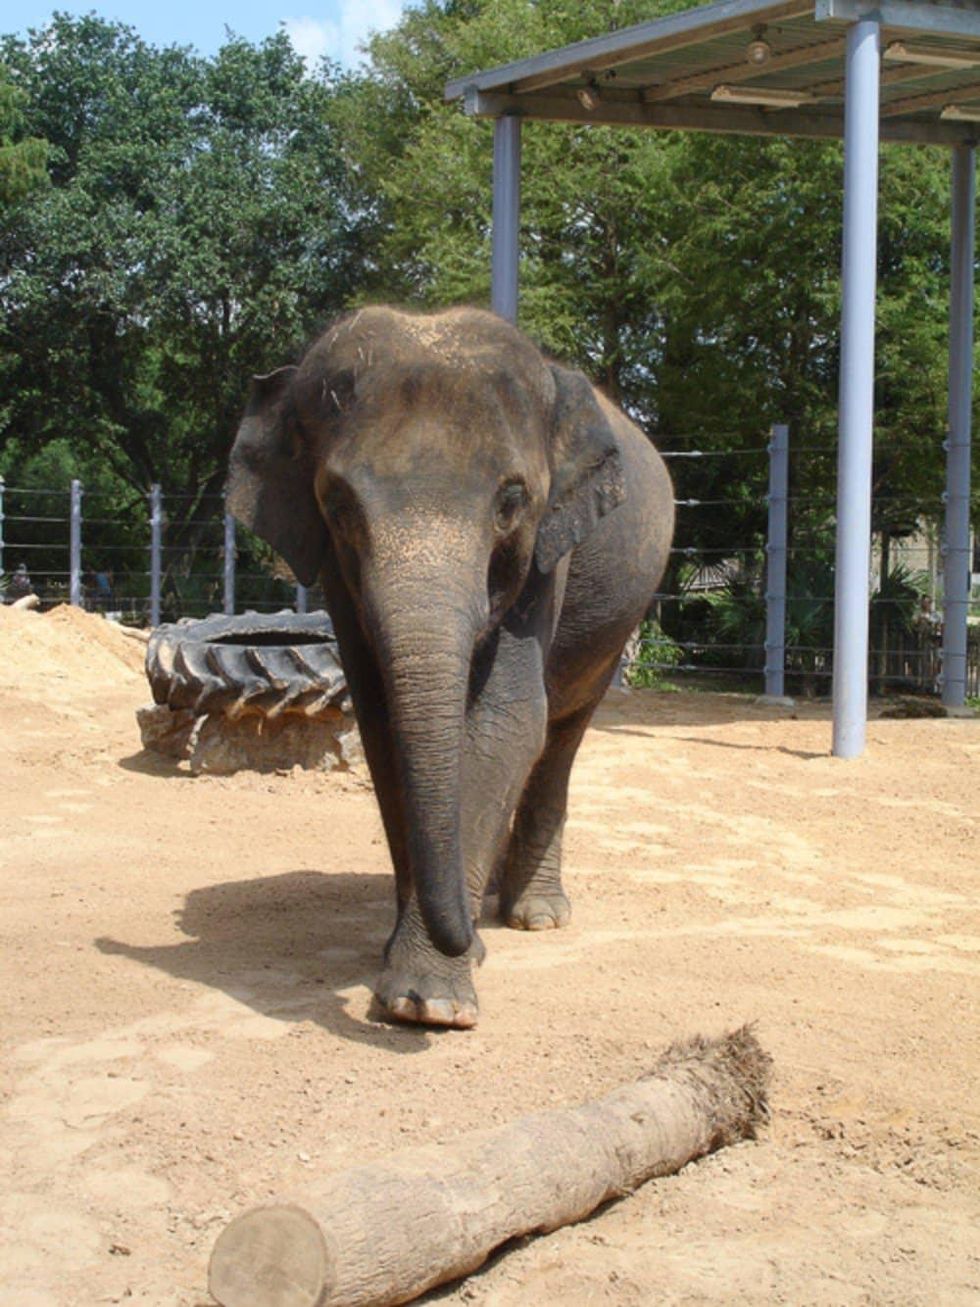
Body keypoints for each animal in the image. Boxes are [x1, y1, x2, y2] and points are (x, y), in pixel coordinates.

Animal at [228, 306, 674, 1028]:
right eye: (339, 505)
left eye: (511, 503)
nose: (467, 938)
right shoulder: (337, 574)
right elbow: (383, 723)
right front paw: (421, 966)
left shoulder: (546, 555)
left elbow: (506, 721)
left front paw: (429, 1002)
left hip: (618, 624)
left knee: (562, 734)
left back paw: (533, 915)